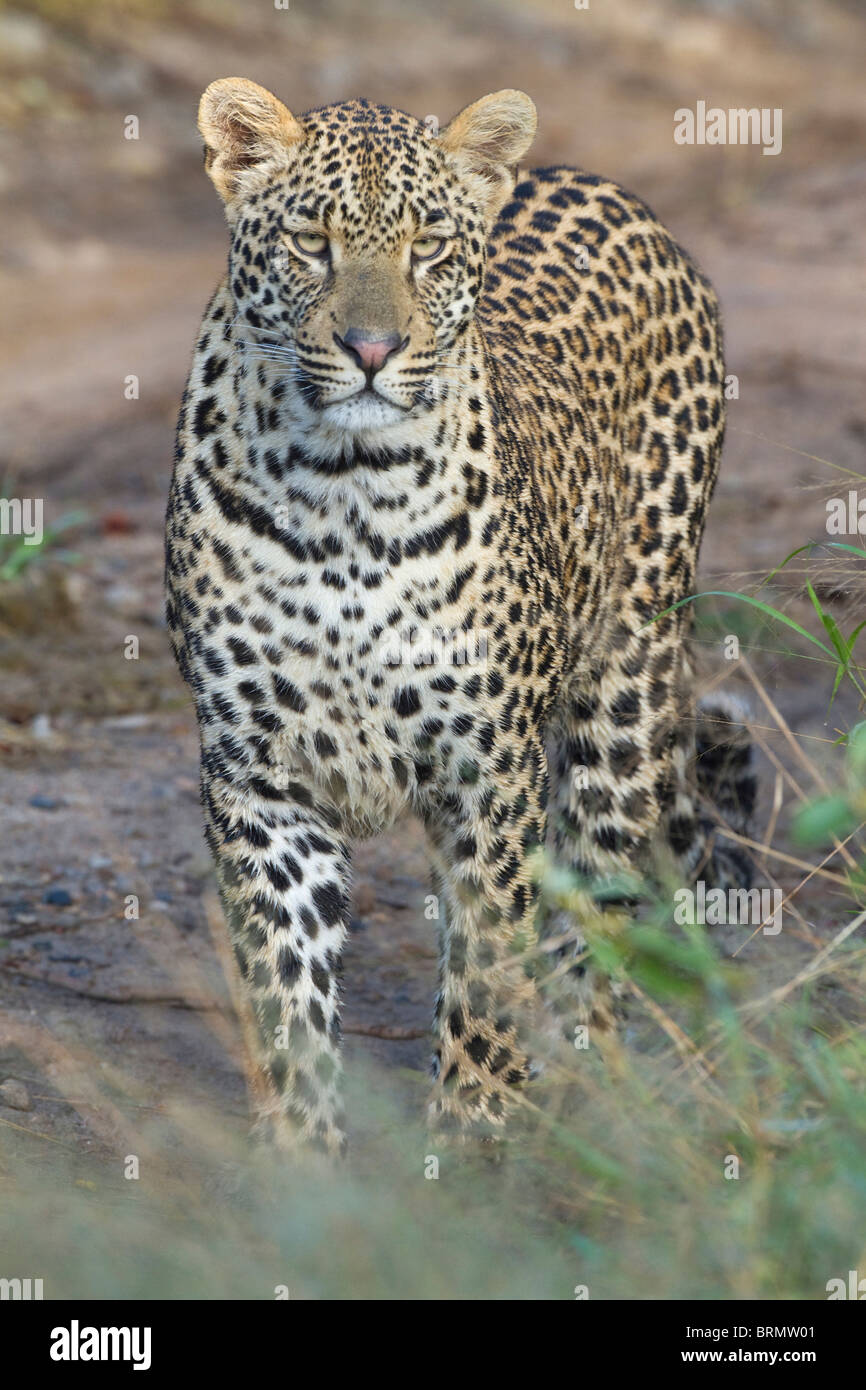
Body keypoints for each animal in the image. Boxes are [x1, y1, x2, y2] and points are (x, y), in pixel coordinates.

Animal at [165, 78, 755, 1157]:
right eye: (311, 240)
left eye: (429, 246)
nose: (370, 349)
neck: (344, 493)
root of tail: (597, 181)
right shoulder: (260, 781)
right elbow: (286, 989)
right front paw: (301, 1159)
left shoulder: (489, 769)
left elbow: (487, 963)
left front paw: (475, 1136)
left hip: (629, 687)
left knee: (593, 899)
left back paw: (580, 1079)